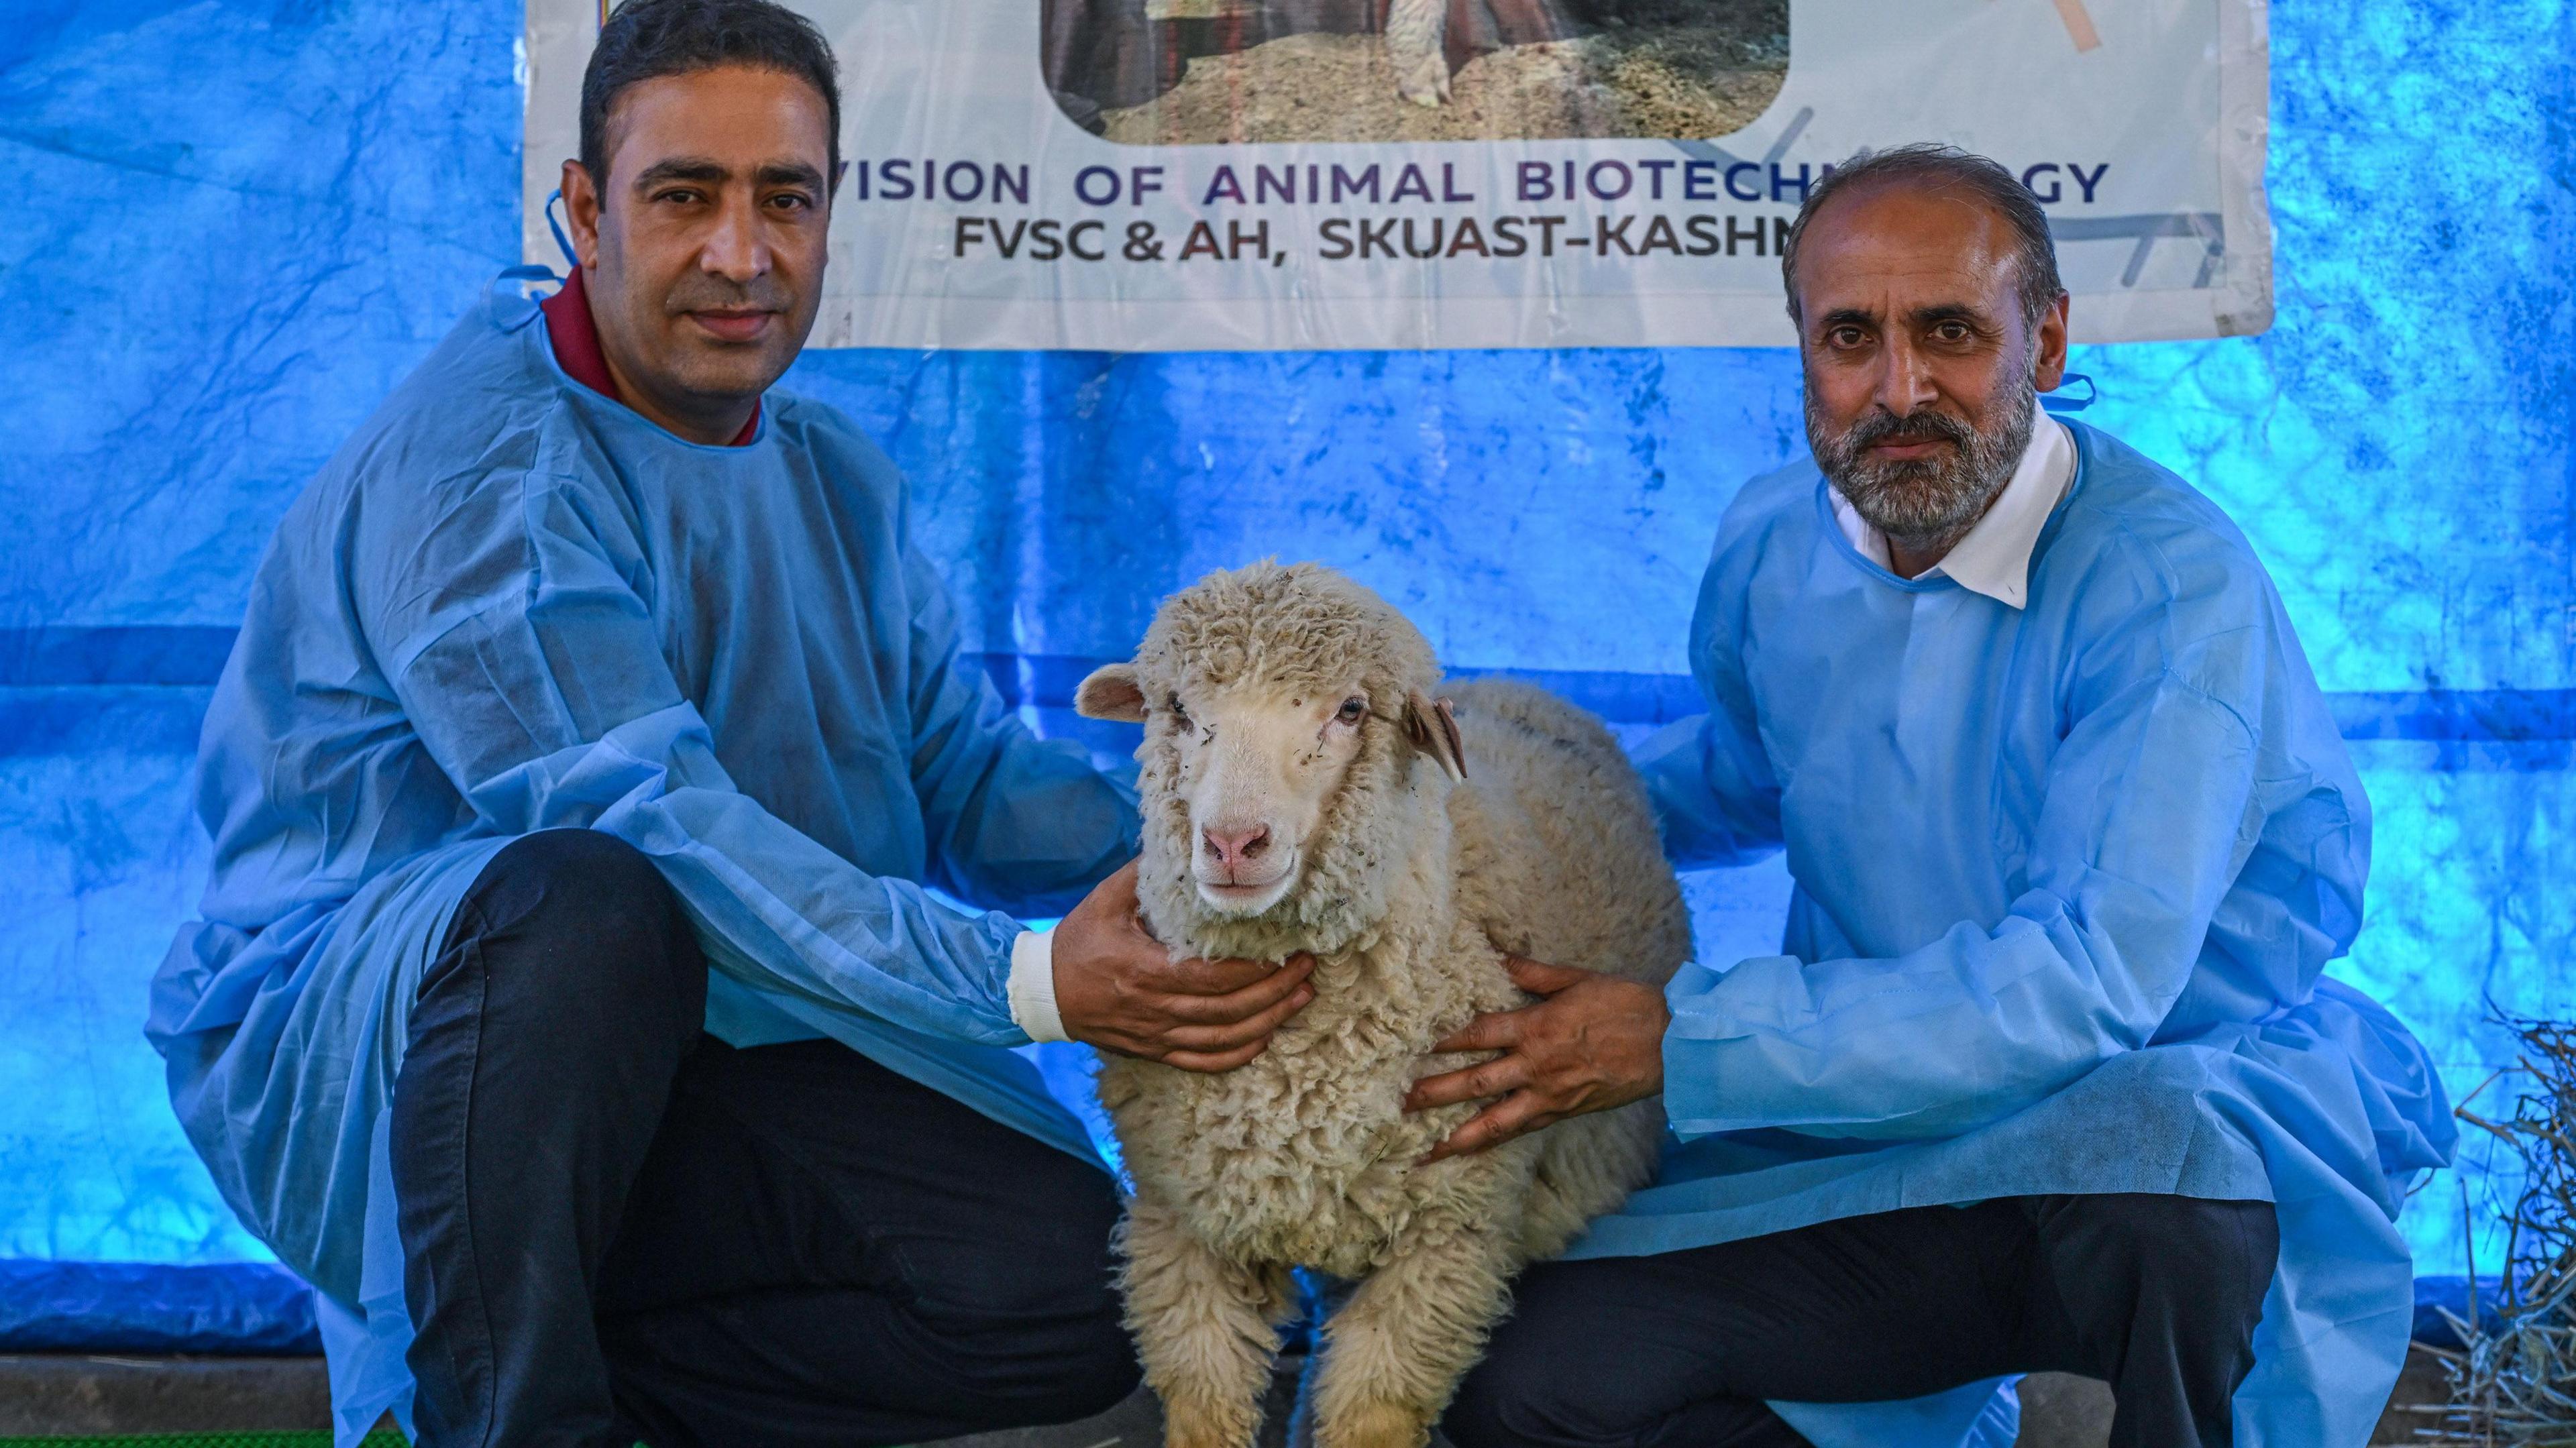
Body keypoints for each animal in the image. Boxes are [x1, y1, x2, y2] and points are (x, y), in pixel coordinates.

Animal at [1073, 561, 1691, 1448]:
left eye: (1352, 709)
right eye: (1180, 710)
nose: (1232, 843)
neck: (1299, 1082)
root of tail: (1525, 685)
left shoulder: (1448, 1240)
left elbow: (1372, 1416)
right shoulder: (1183, 1225)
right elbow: (1202, 1403)